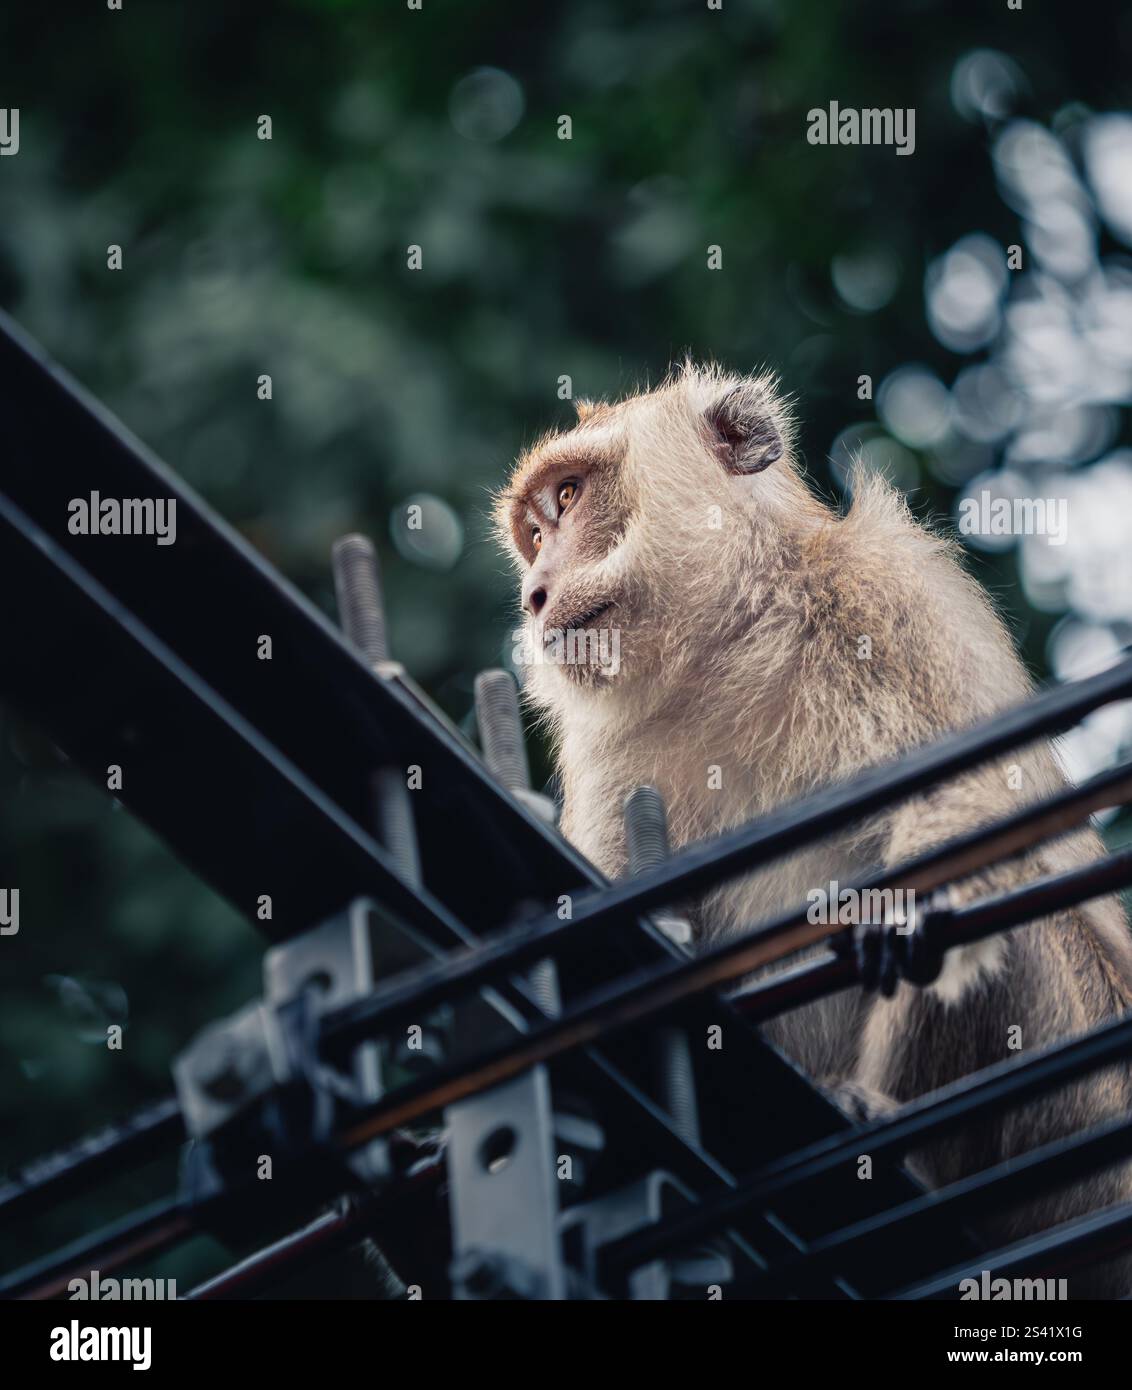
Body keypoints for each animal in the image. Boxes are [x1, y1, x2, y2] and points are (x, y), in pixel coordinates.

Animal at [494, 362, 1132, 1296]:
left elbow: (980, 800)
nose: (536, 591)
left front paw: (905, 908)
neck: (725, 647)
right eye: (535, 530)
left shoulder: (887, 597)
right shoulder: (607, 753)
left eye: (570, 496)